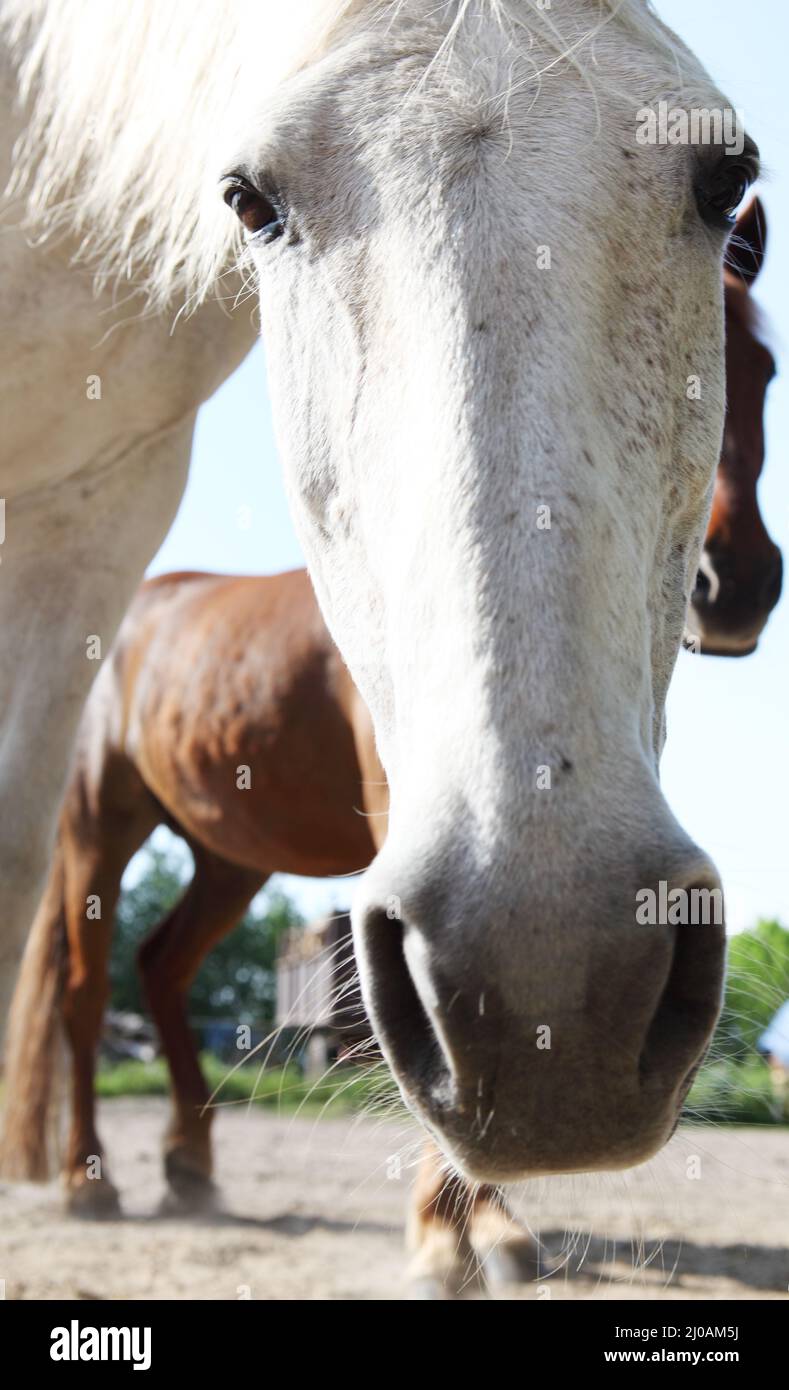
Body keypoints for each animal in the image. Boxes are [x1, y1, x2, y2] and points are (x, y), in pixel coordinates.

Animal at [0, 0, 764, 1199]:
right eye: (250, 201)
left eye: (724, 177)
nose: (552, 973)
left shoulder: (99, 497)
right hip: (109, 824)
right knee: (86, 983)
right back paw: (92, 1175)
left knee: (156, 966)